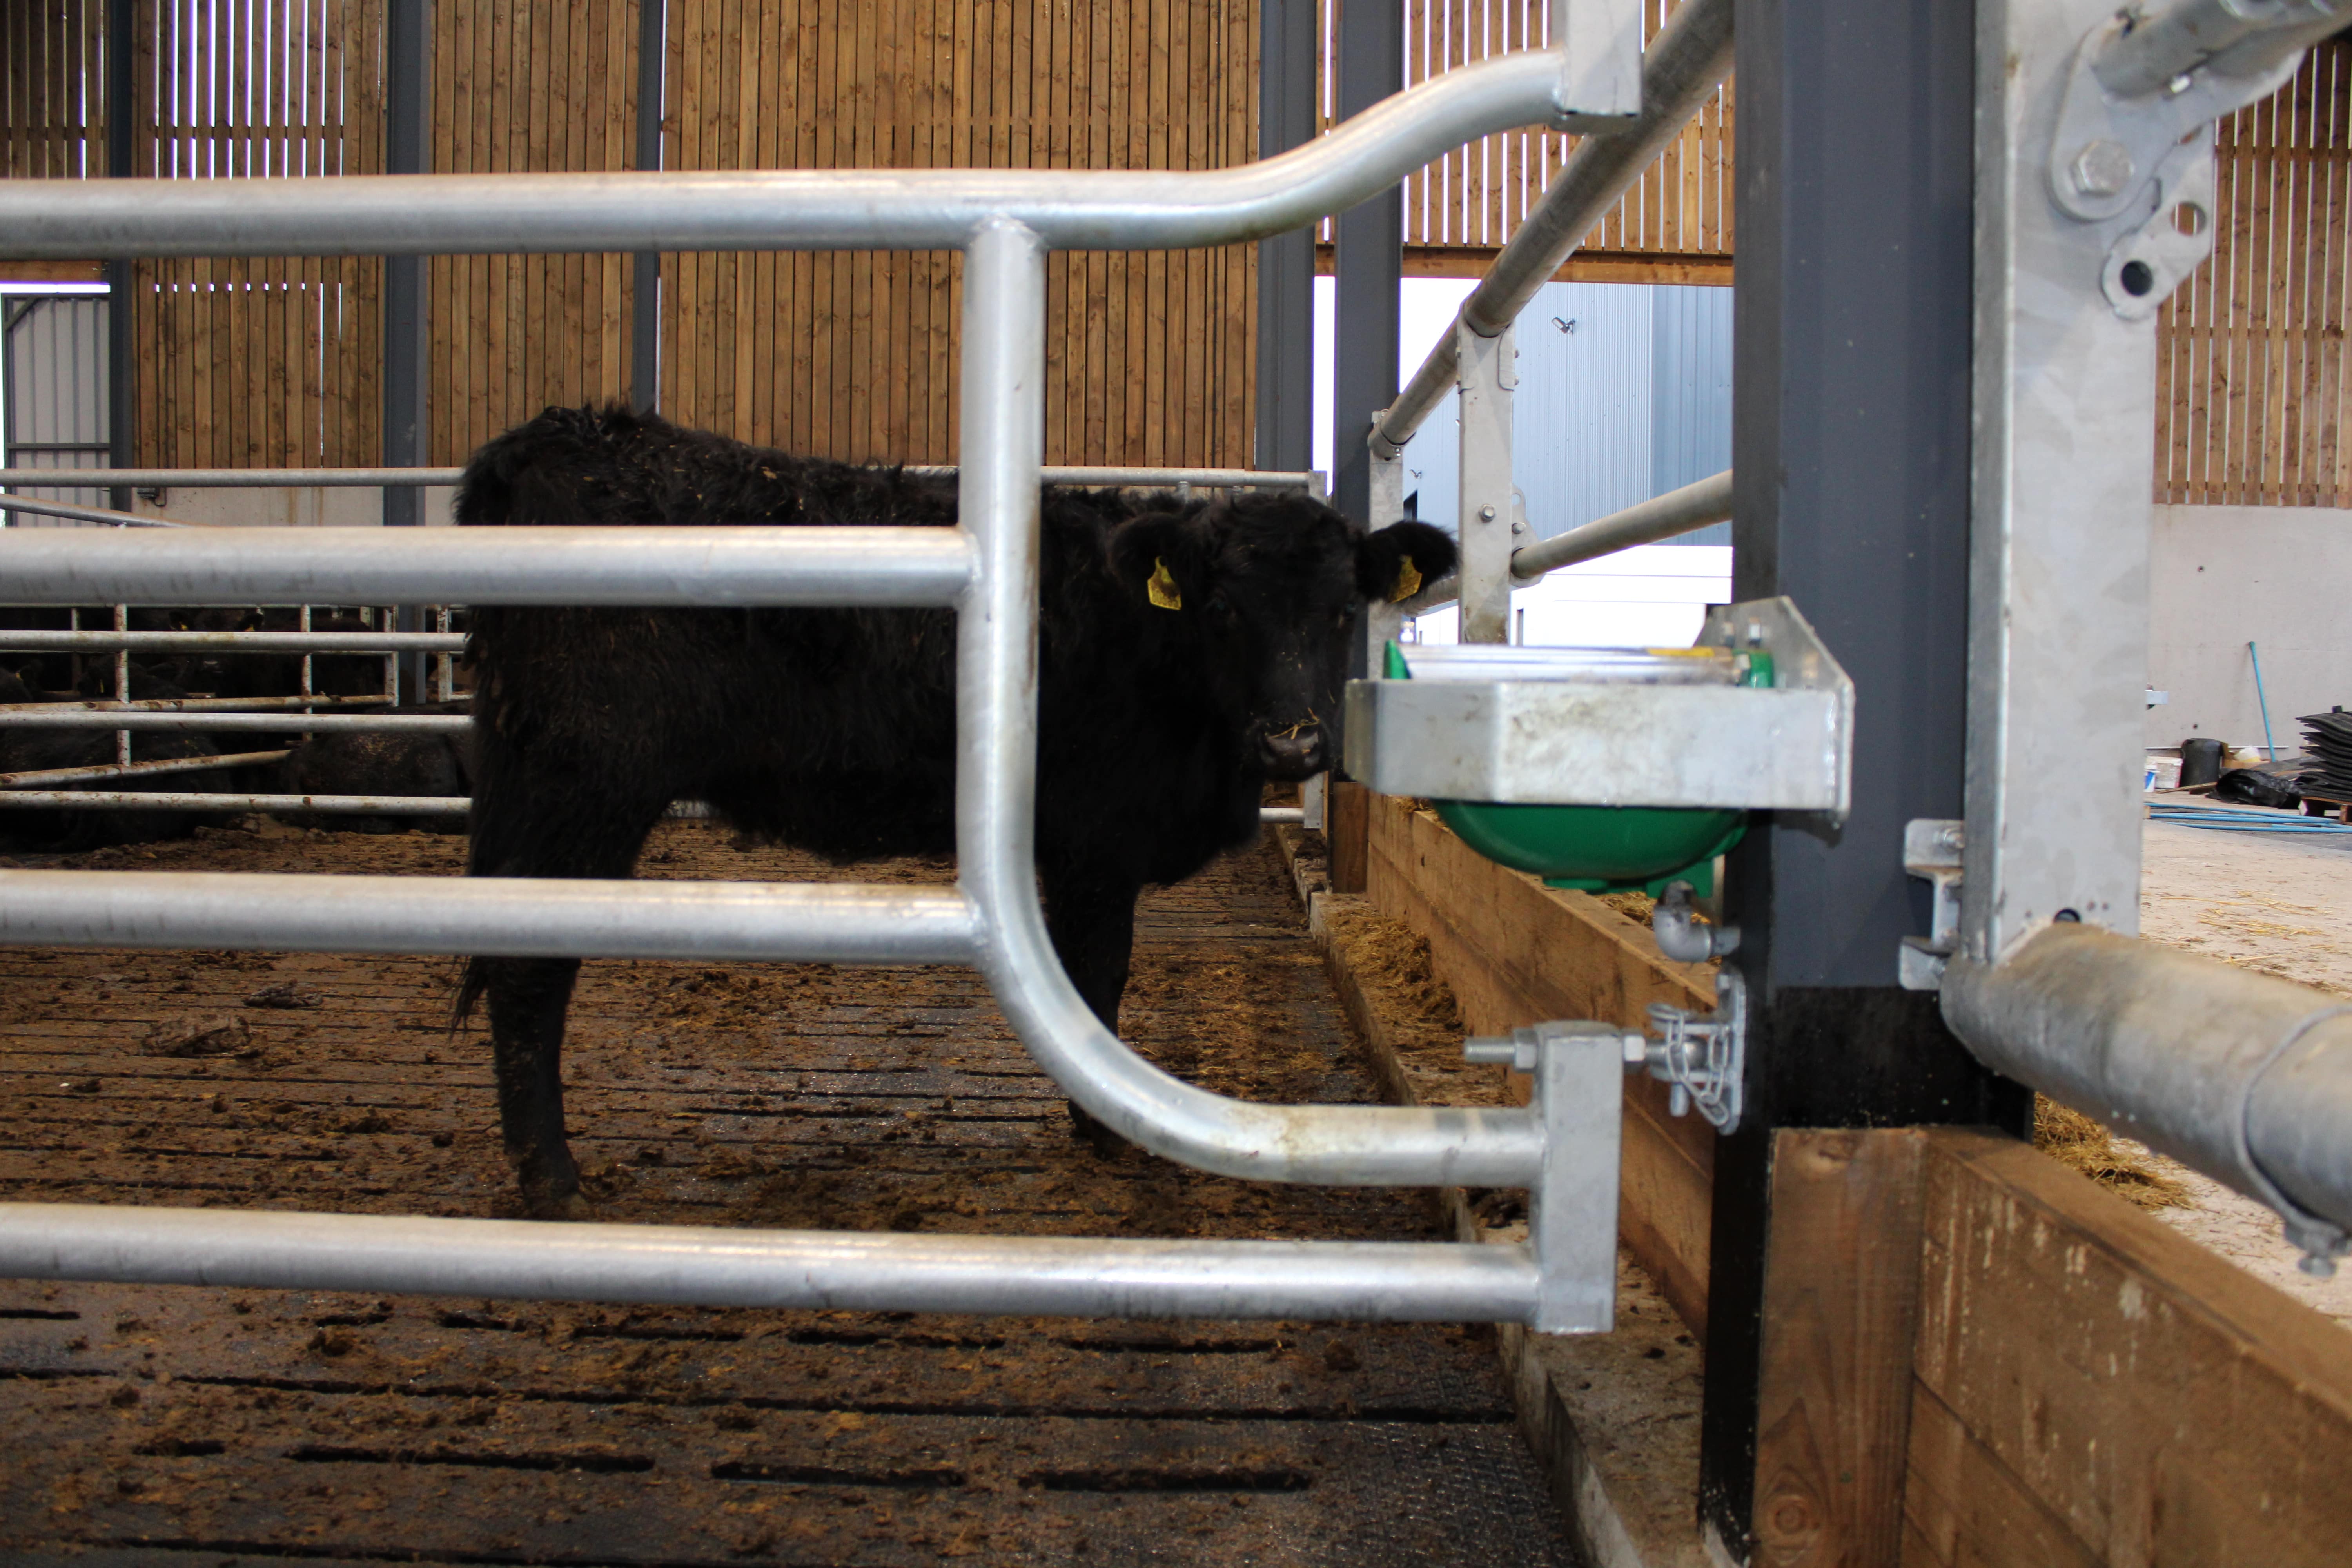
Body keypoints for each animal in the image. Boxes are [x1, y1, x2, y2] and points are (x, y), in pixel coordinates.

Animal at [449, 403, 1455, 1217]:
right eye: (1221, 608)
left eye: (1342, 609)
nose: (1294, 745)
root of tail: (564, 431)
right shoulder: (1096, 843)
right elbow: (1097, 980)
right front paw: (1108, 1128)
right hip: (583, 782)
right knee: (529, 973)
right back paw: (553, 1179)